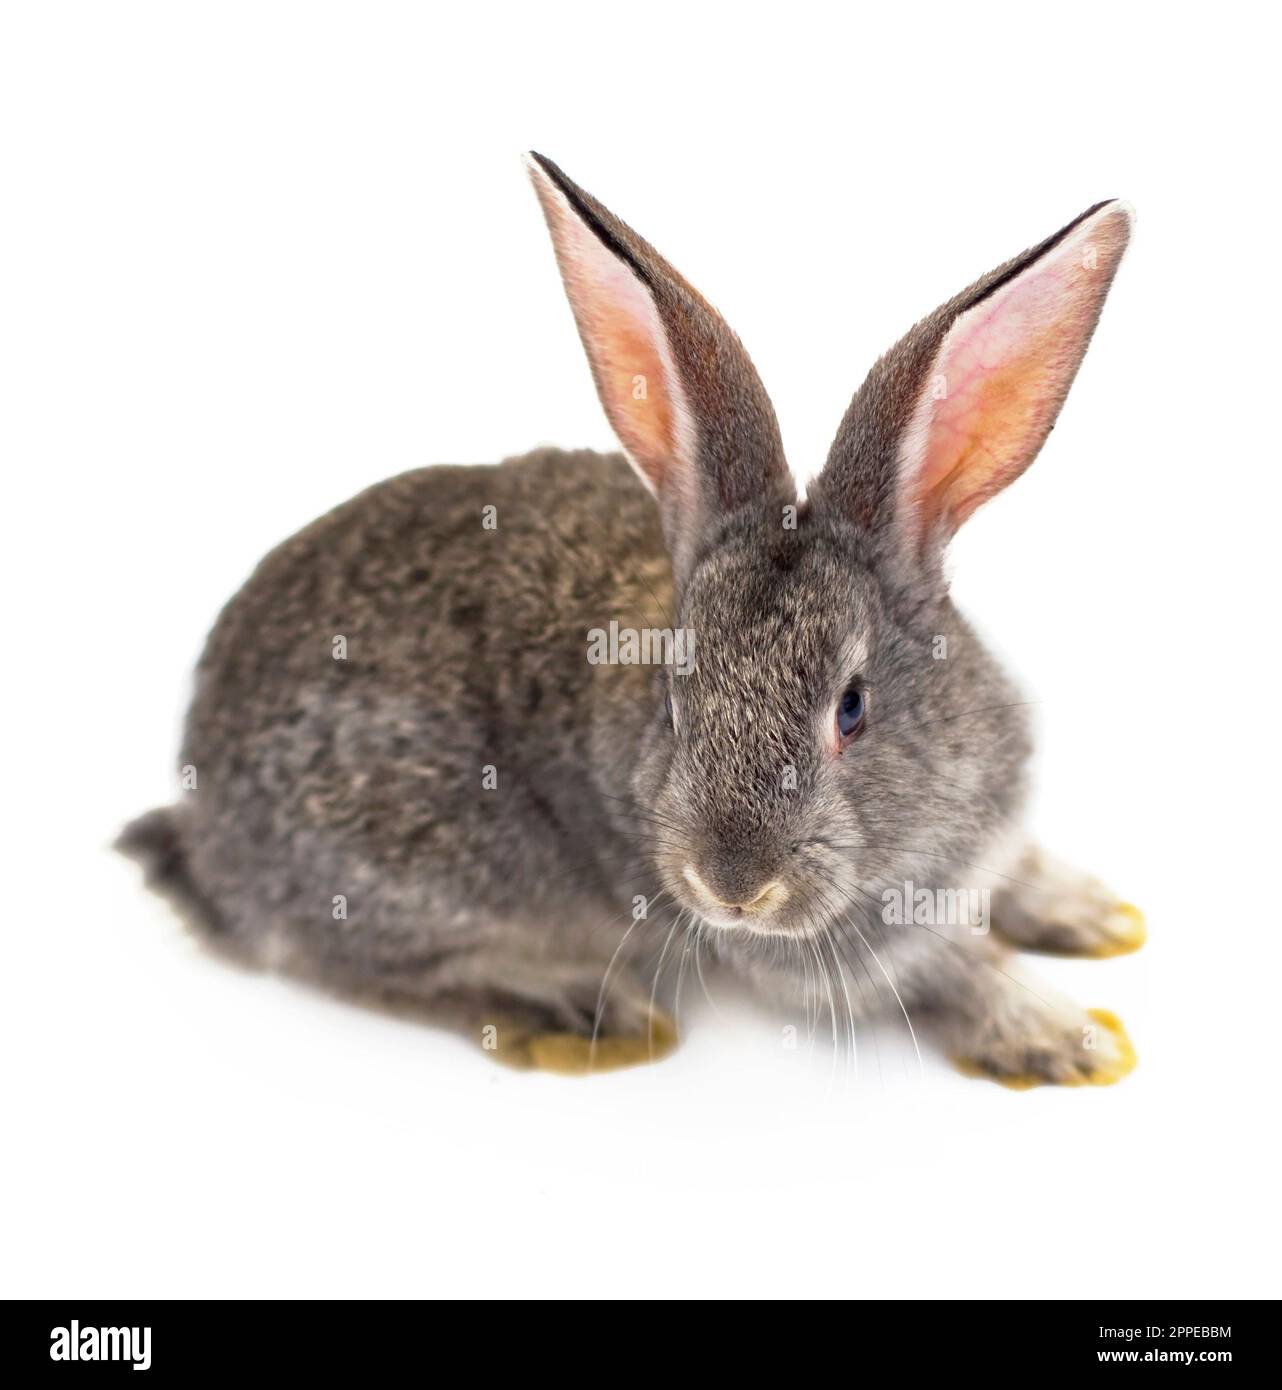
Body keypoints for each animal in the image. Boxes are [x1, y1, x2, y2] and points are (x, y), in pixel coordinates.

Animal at [120, 152, 1142, 1085]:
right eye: (674, 705)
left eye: (852, 710)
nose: (731, 889)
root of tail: (204, 828)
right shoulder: (834, 958)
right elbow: (957, 970)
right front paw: (1065, 1036)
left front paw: (1092, 913)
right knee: (357, 964)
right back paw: (576, 1010)